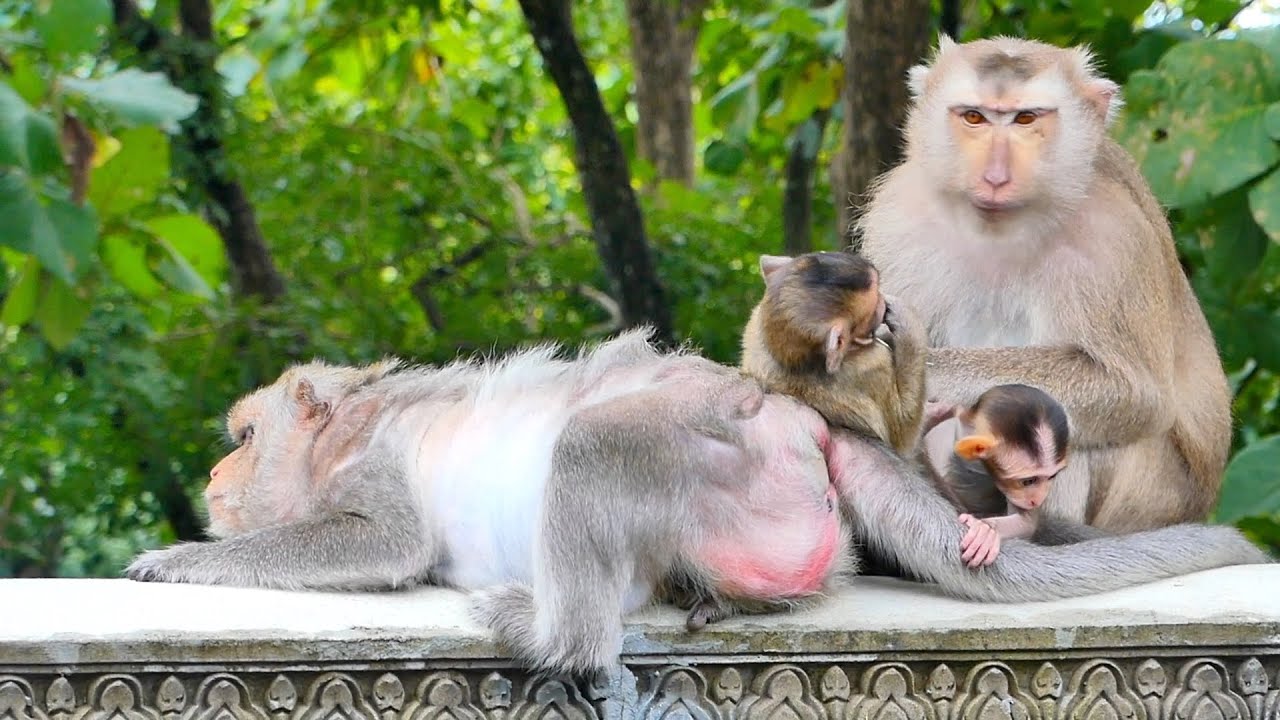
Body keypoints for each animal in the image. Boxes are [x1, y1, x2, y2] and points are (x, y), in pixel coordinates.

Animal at [124, 329, 1269, 676]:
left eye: (242, 438)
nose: (217, 478)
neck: (347, 435)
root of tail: (805, 422)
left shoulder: (377, 467)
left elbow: (388, 539)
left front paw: (174, 558)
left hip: (709, 451)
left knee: (588, 449)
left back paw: (550, 630)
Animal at [739, 251, 926, 456]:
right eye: (875, 302)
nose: (882, 303)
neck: (800, 363)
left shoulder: (755, 325)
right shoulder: (874, 364)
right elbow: (903, 434)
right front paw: (903, 315)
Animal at [857, 36, 1233, 533]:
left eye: (1025, 119)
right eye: (974, 117)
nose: (995, 177)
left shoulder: (1112, 240)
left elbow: (1134, 393)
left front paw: (922, 367)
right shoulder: (897, 219)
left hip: (1152, 496)